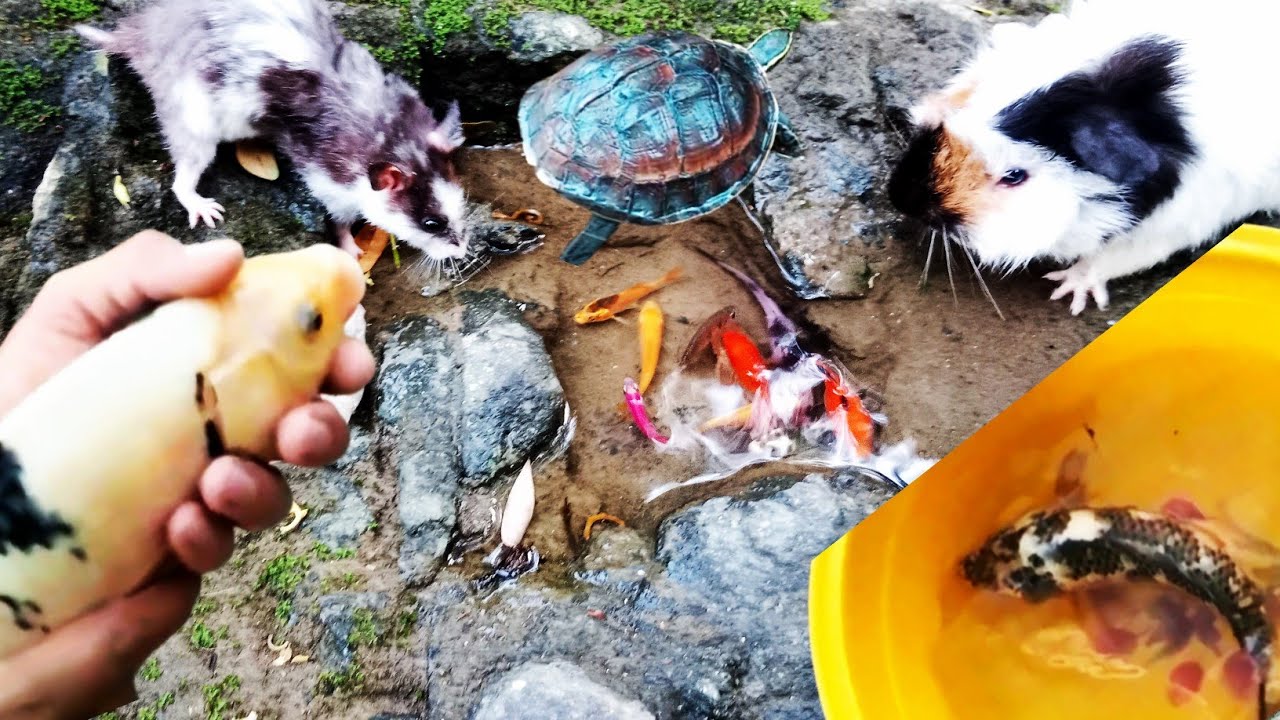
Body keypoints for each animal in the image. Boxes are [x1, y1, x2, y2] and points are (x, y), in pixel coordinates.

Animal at [75, 0, 469, 261]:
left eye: (460, 203)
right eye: (431, 223)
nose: (465, 254)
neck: (394, 136)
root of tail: (140, 40)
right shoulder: (329, 183)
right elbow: (339, 221)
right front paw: (353, 250)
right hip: (193, 118)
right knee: (182, 178)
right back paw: (204, 208)